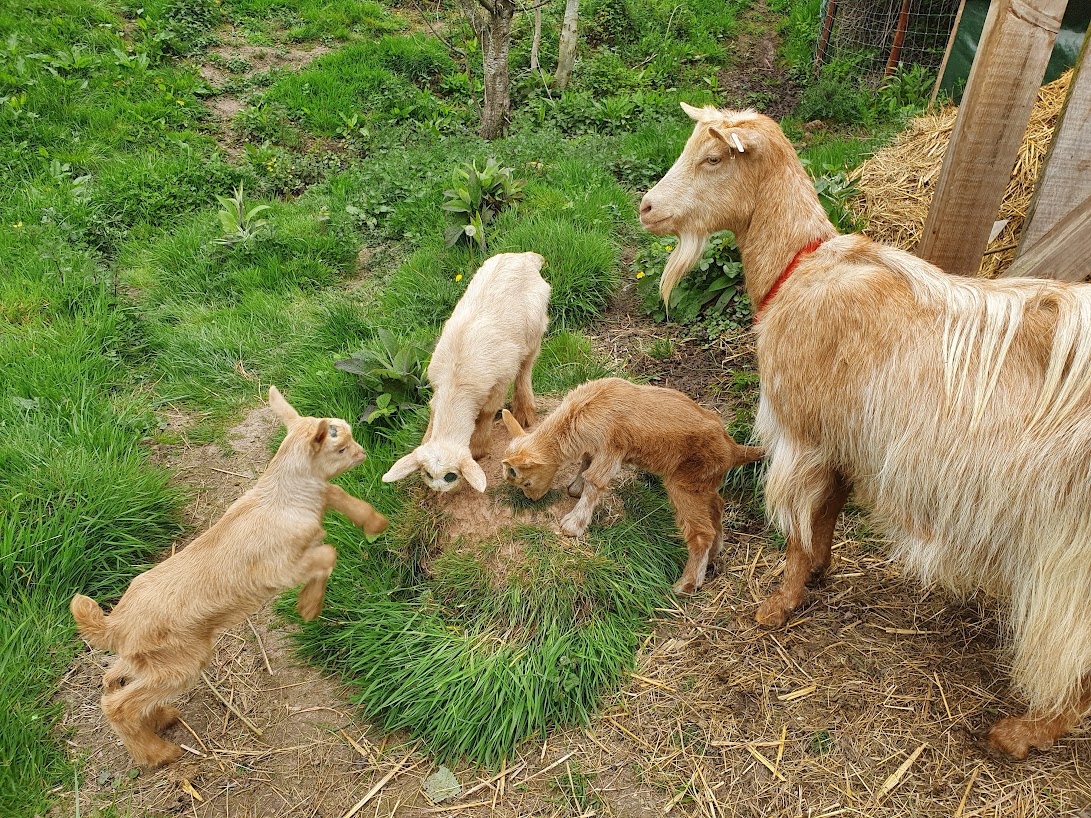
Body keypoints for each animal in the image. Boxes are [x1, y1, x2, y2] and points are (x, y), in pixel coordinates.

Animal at [70, 386, 388, 767]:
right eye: (340, 447)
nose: (363, 453)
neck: (280, 499)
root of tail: (114, 625)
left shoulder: (316, 499)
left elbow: (336, 495)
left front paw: (376, 523)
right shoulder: (281, 568)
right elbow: (328, 553)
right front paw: (309, 607)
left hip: (149, 660)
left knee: (113, 678)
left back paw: (160, 719)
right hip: (181, 662)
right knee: (119, 705)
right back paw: (158, 753)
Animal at [383, 251, 551, 493]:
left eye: (450, 475)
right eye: (428, 474)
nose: (439, 490)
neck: (456, 381)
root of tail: (525, 257)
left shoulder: (498, 382)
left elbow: (487, 413)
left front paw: (478, 448)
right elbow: (432, 409)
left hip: (534, 329)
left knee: (526, 366)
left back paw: (524, 409)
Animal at [501, 377, 763, 594]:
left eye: (526, 481)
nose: (532, 499)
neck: (582, 410)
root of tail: (733, 448)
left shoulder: (611, 448)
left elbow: (594, 480)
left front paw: (573, 524)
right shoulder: (596, 447)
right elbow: (585, 462)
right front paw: (574, 488)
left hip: (685, 485)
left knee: (701, 532)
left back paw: (686, 584)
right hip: (704, 483)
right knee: (717, 507)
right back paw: (715, 552)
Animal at [638, 102, 1091, 758]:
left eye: (714, 157)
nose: (647, 208)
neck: (801, 270)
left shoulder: (803, 434)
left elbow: (799, 526)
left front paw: (777, 605)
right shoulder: (842, 440)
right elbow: (828, 509)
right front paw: (819, 573)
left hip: (1071, 546)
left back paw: (1021, 733)